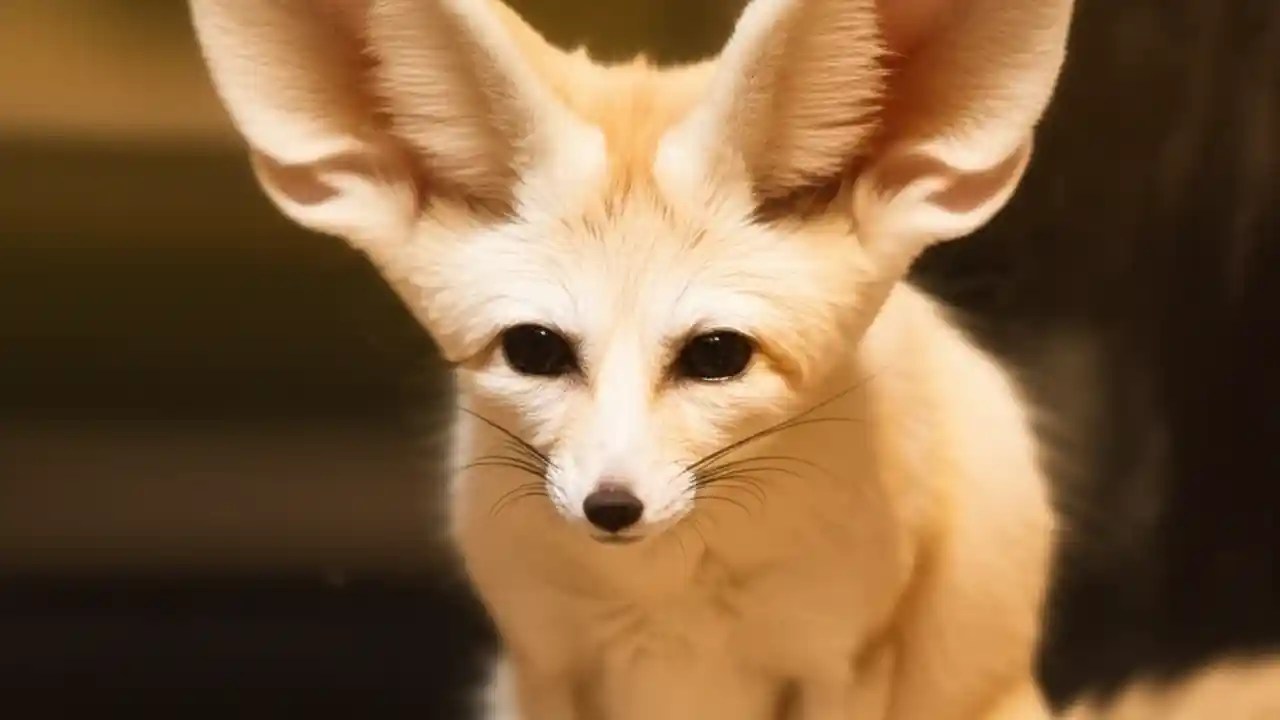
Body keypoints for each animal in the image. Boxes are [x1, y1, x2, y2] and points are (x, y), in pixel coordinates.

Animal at [188, 0, 1077, 717]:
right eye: (534, 349)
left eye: (716, 354)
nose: (610, 507)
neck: (666, 593)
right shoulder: (545, 663)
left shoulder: (843, 663)